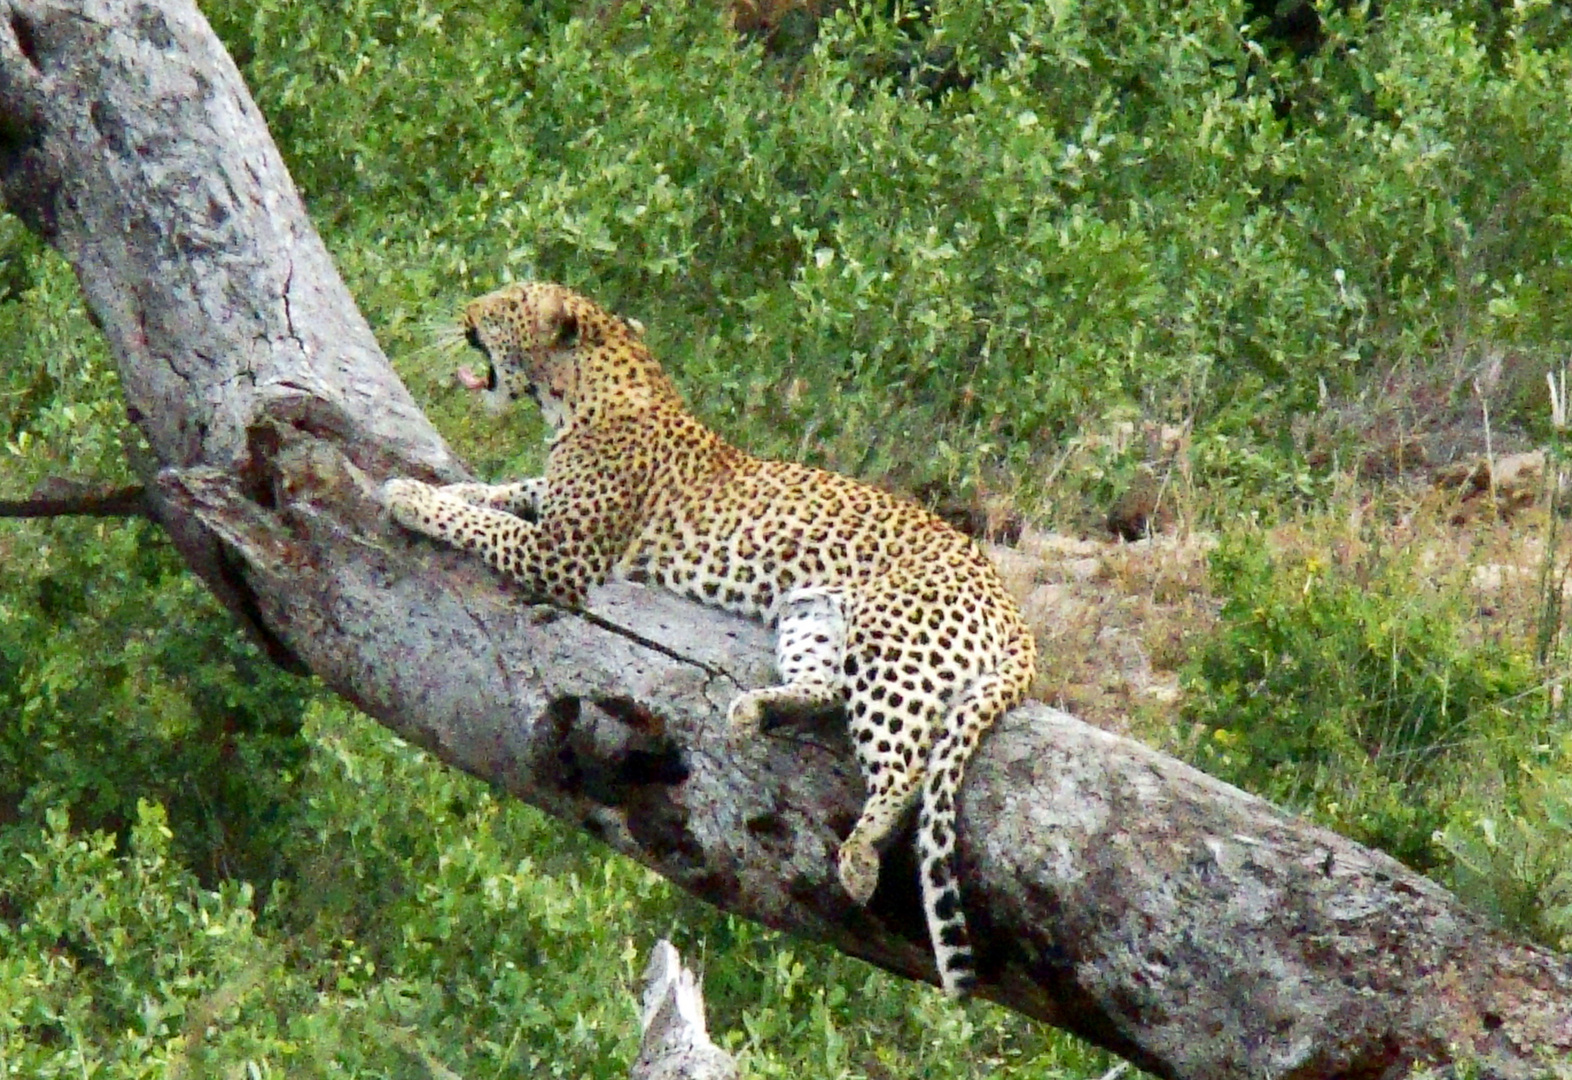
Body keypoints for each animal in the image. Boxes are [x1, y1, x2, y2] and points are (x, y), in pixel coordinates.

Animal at [382, 281, 1037, 996]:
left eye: (502, 306)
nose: (467, 315)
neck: (582, 397)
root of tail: (1012, 609)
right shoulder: (551, 510)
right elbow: (509, 491)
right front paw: (448, 484)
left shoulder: (564, 557)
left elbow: (484, 524)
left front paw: (414, 498)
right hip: (812, 611)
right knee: (826, 689)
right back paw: (752, 710)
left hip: (890, 644)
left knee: (906, 768)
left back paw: (860, 854)